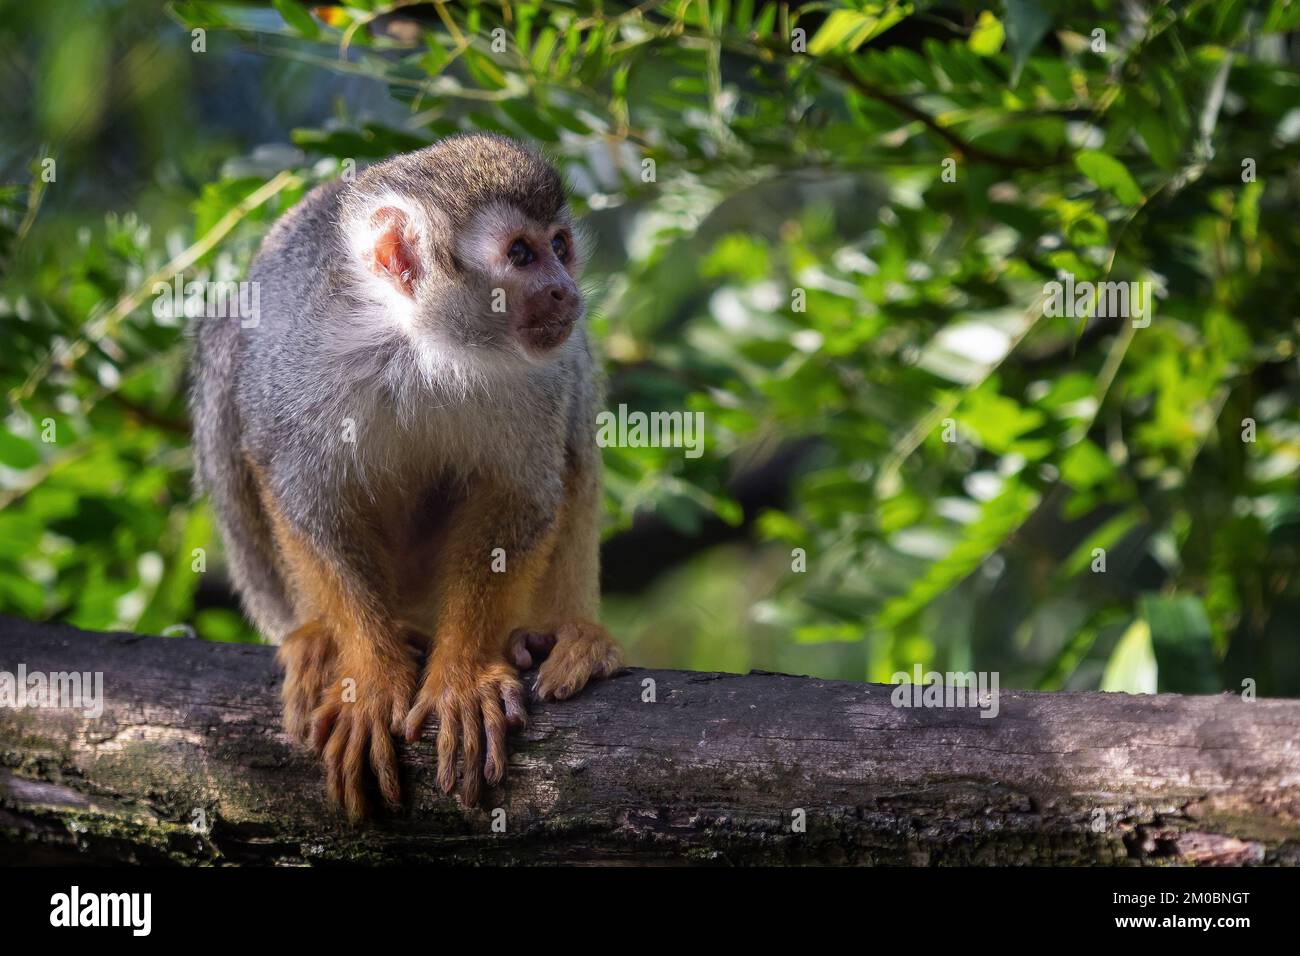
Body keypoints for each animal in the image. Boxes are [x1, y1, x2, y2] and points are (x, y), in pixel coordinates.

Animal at [189, 133, 623, 819]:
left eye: (560, 246)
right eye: (520, 255)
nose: (563, 289)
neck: (422, 346)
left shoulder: (539, 374)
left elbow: (521, 497)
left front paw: (463, 673)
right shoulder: (298, 357)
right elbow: (304, 497)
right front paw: (369, 675)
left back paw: (560, 634)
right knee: (225, 355)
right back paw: (316, 637)